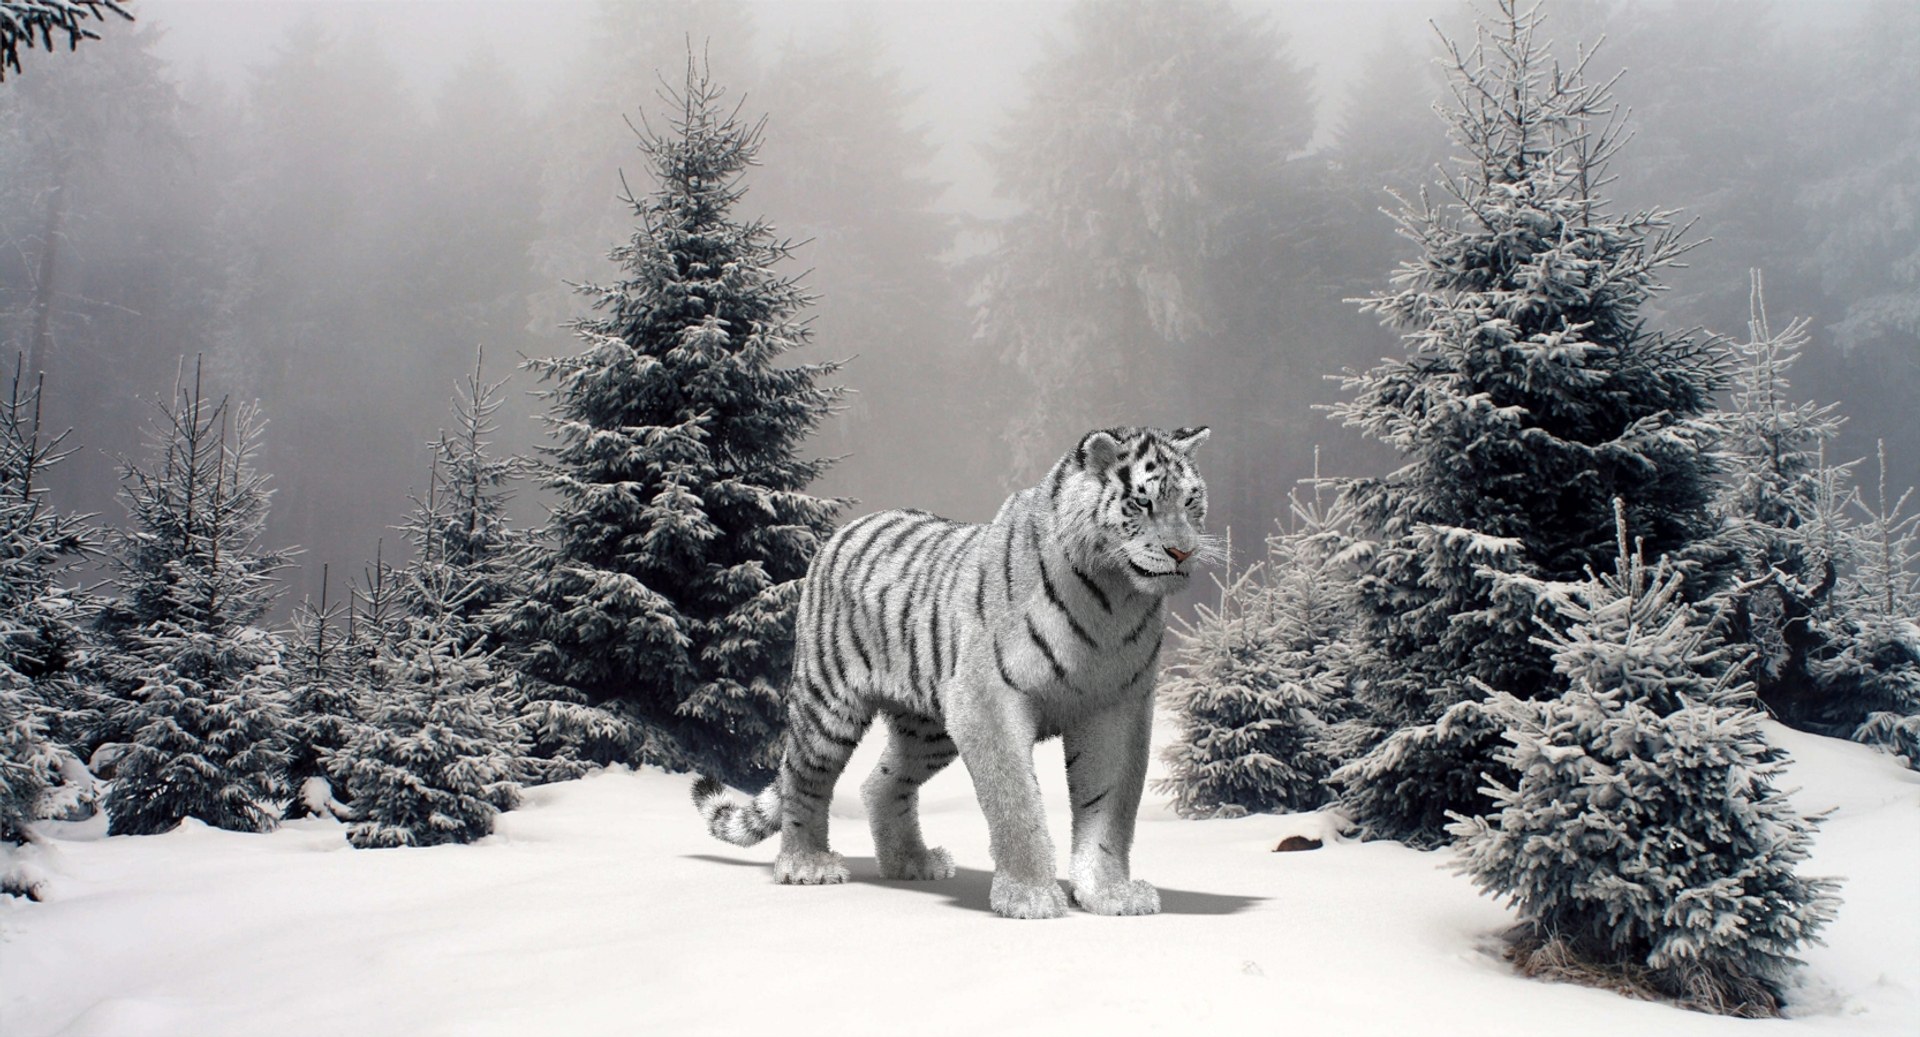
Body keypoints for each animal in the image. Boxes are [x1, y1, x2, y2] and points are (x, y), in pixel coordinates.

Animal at [693, 426, 1214, 919]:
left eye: (1190, 502)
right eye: (1142, 502)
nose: (1183, 552)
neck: (1113, 598)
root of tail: (843, 532)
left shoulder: (1117, 706)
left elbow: (1109, 807)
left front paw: (1109, 893)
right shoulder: (988, 704)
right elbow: (1017, 802)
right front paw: (1029, 895)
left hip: (929, 729)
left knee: (880, 783)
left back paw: (911, 863)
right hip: (829, 703)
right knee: (804, 779)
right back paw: (806, 865)